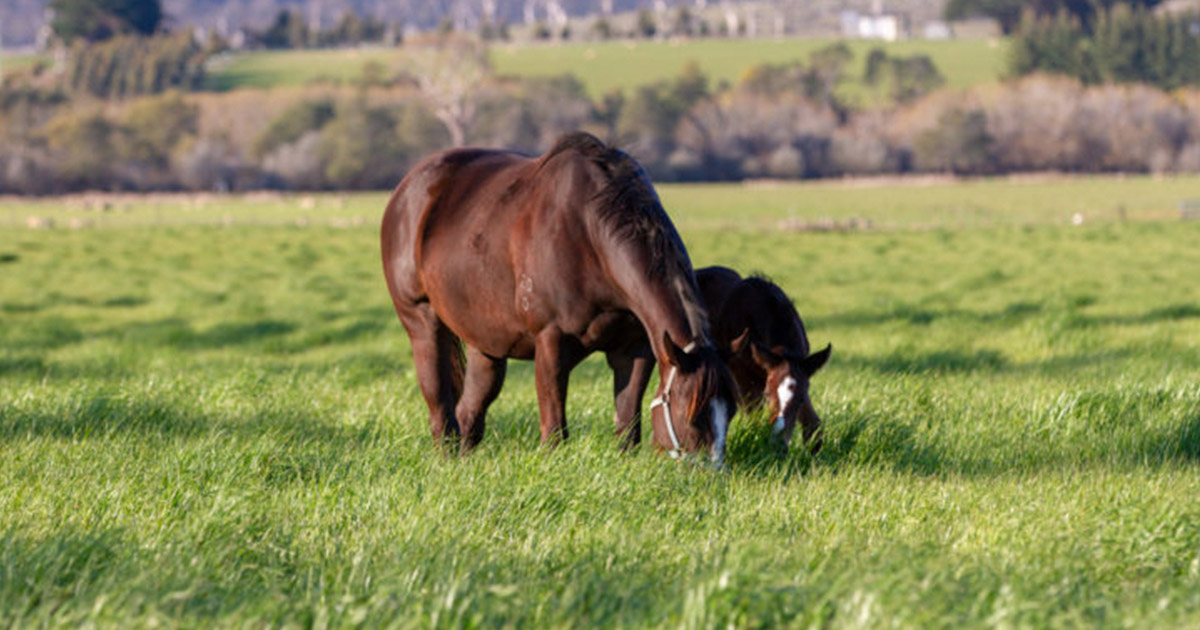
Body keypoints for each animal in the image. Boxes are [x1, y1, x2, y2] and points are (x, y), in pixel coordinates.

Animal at [381, 132, 737, 465]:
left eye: (730, 412)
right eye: (692, 415)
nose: (711, 474)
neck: (591, 234)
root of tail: (406, 190)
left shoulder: (633, 349)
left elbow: (627, 423)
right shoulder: (550, 340)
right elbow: (554, 426)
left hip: (485, 342)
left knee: (470, 410)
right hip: (422, 321)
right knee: (440, 403)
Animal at [696, 266, 831, 453]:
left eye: (801, 399)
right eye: (768, 394)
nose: (779, 445)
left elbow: (813, 425)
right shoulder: (743, 379)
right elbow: (755, 419)